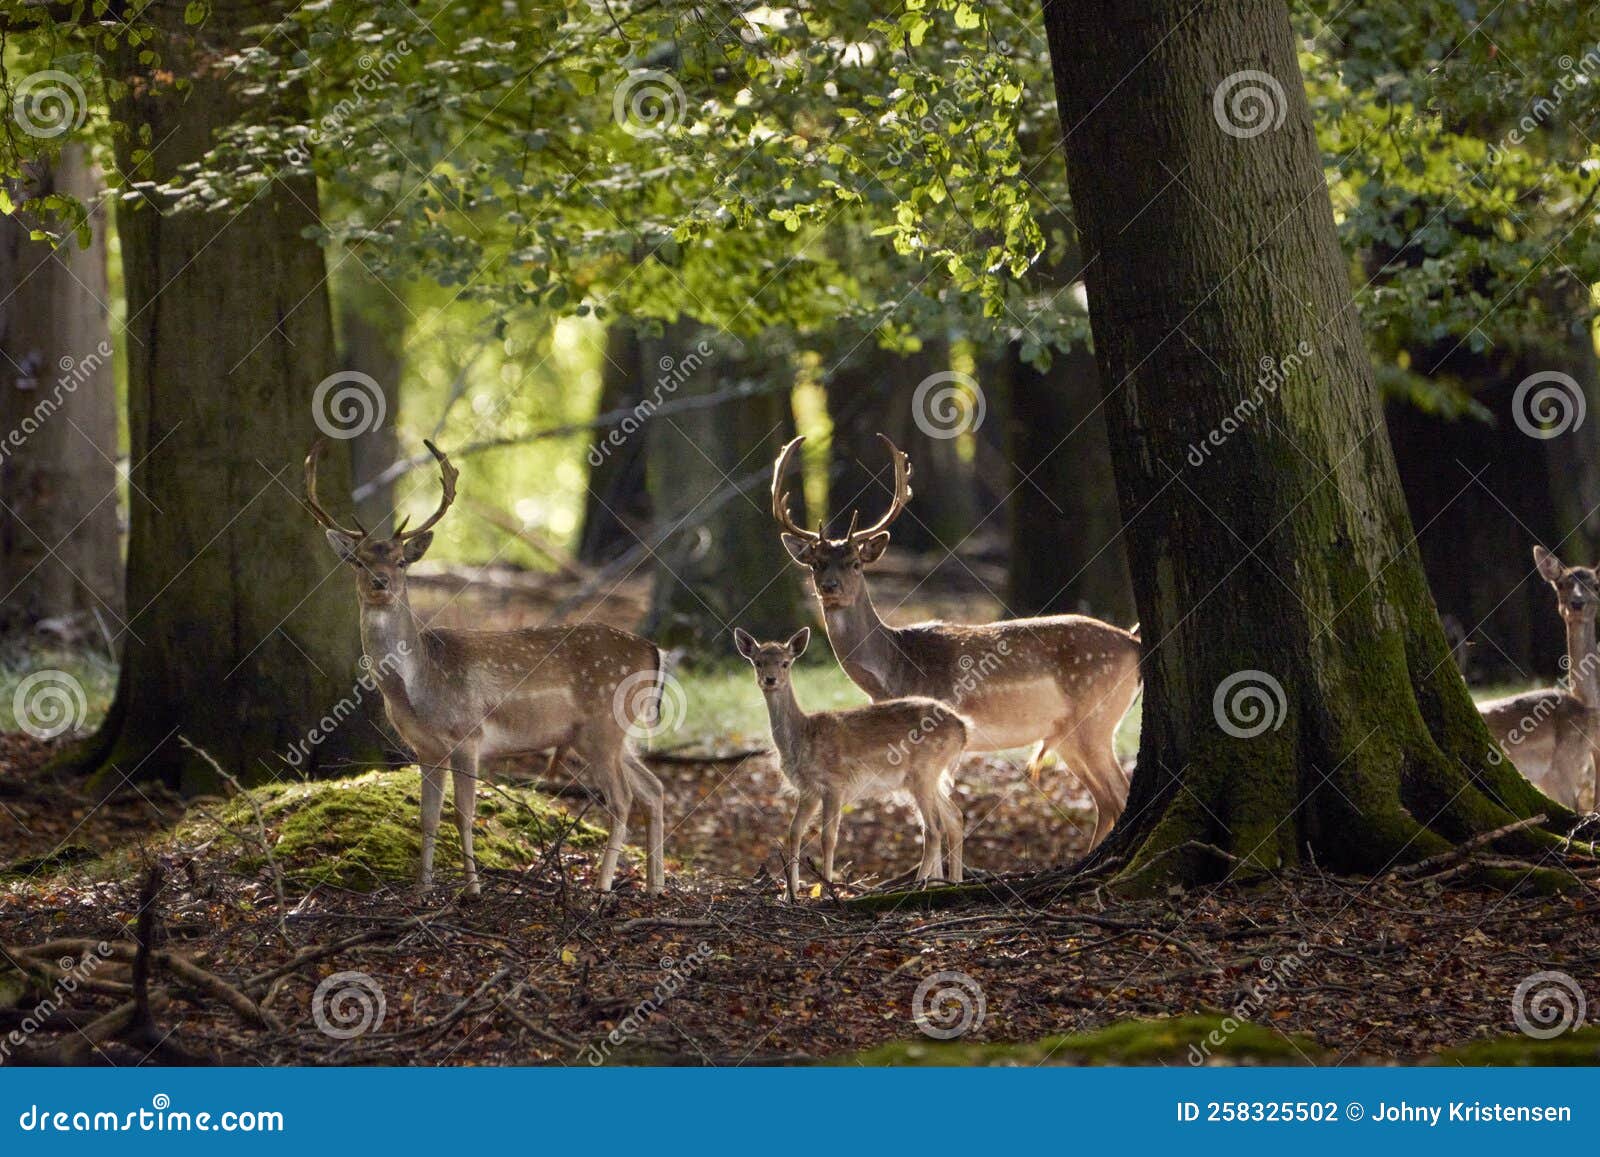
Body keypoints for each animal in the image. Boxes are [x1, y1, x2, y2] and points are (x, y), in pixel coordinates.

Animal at [304, 439, 668, 896]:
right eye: (358, 561)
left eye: (402, 561)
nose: (380, 582)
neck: (417, 684)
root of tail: (654, 651)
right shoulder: (425, 748)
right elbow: (426, 816)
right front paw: (422, 890)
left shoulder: (468, 735)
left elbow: (463, 812)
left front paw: (473, 888)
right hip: (618, 734)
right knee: (654, 789)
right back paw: (656, 886)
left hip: (603, 726)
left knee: (621, 799)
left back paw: (601, 889)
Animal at [734, 626, 966, 899]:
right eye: (758, 662)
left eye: (785, 663)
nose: (770, 679)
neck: (803, 735)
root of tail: (963, 729)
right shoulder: (808, 789)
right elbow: (794, 830)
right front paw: (790, 892)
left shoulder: (835, 783)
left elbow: (828, 837)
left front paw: (826, 890)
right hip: (931, 777)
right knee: (954, 818)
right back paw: (952, 882)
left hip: (924, 772)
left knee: (933, 829)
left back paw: (916, 885)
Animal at [771, 434, 1142, 847]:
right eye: (815, 563)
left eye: (855, 562)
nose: (830, 587)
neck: (893, 674)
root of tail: (1134, 642)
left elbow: (946, 818)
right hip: (1069, 734)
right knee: (1108, 801)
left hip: (1094, 720)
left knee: (1117, 795)